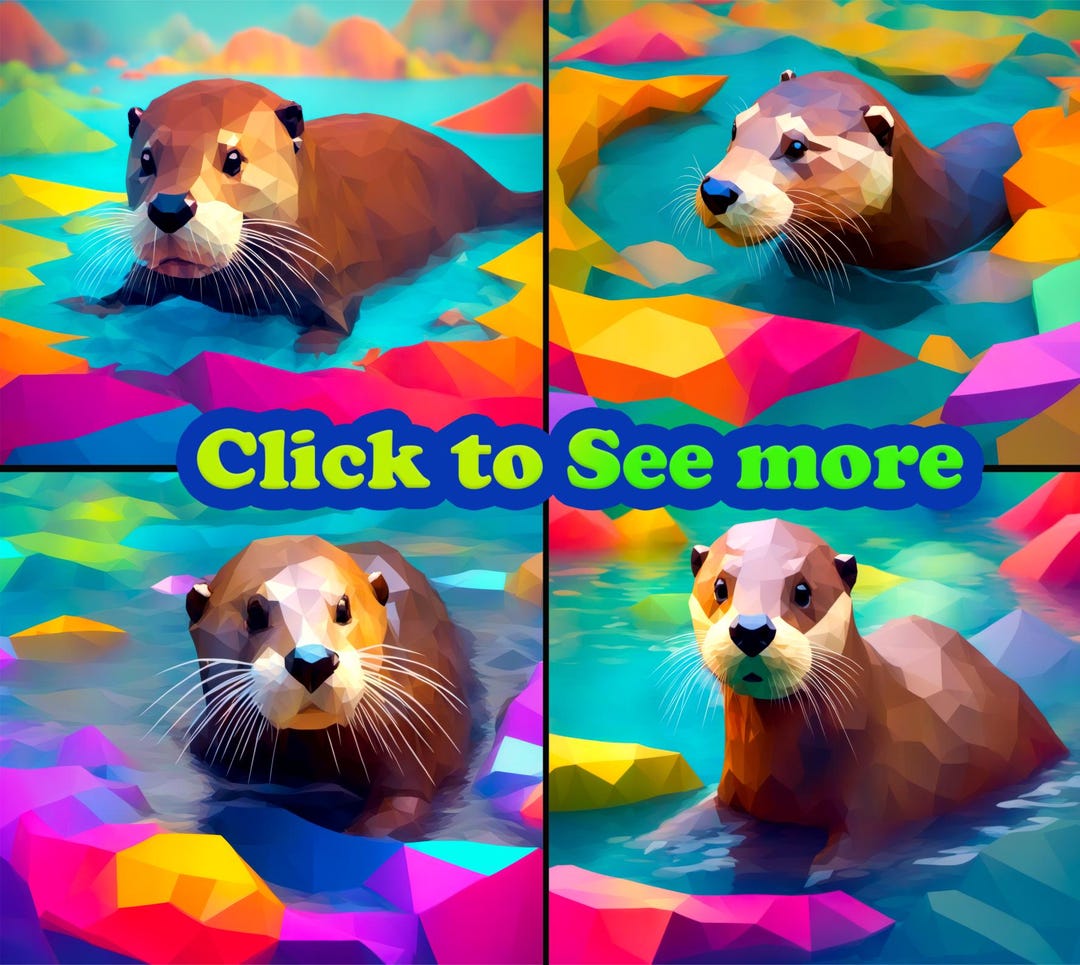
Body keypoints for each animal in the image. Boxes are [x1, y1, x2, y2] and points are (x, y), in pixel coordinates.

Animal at [69, 79, 540, 343]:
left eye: (233, 159)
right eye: (147, 159)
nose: (169, 208)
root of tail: (491, 185)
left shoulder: (336, 288)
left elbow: (330, 331)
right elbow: (122, 296)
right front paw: (79, 307)